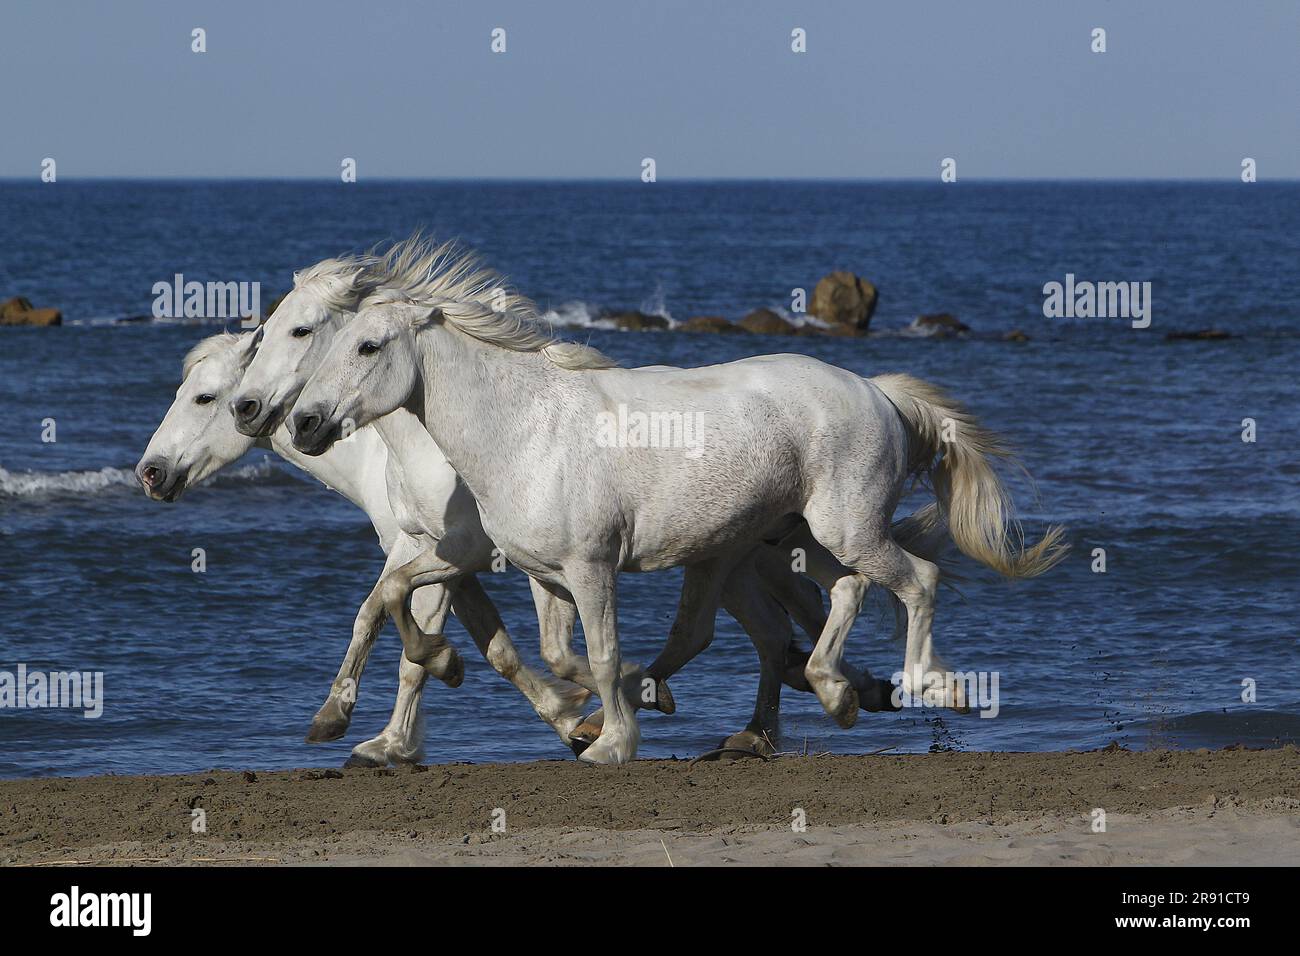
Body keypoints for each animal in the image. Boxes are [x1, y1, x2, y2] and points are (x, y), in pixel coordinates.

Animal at [289, 239, 1067, 764]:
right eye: (324, 342)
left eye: (366, 345)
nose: (304, 423)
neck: (527, 429)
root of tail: (876, 391)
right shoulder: (531, 569)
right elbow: (430, 608)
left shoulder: (591, 567)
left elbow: (601, 656)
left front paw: (610, 740)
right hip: (792, 540)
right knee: (830, 600)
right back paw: (829, 692)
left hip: (842, 528)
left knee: (915, 581)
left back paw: (928, 686)